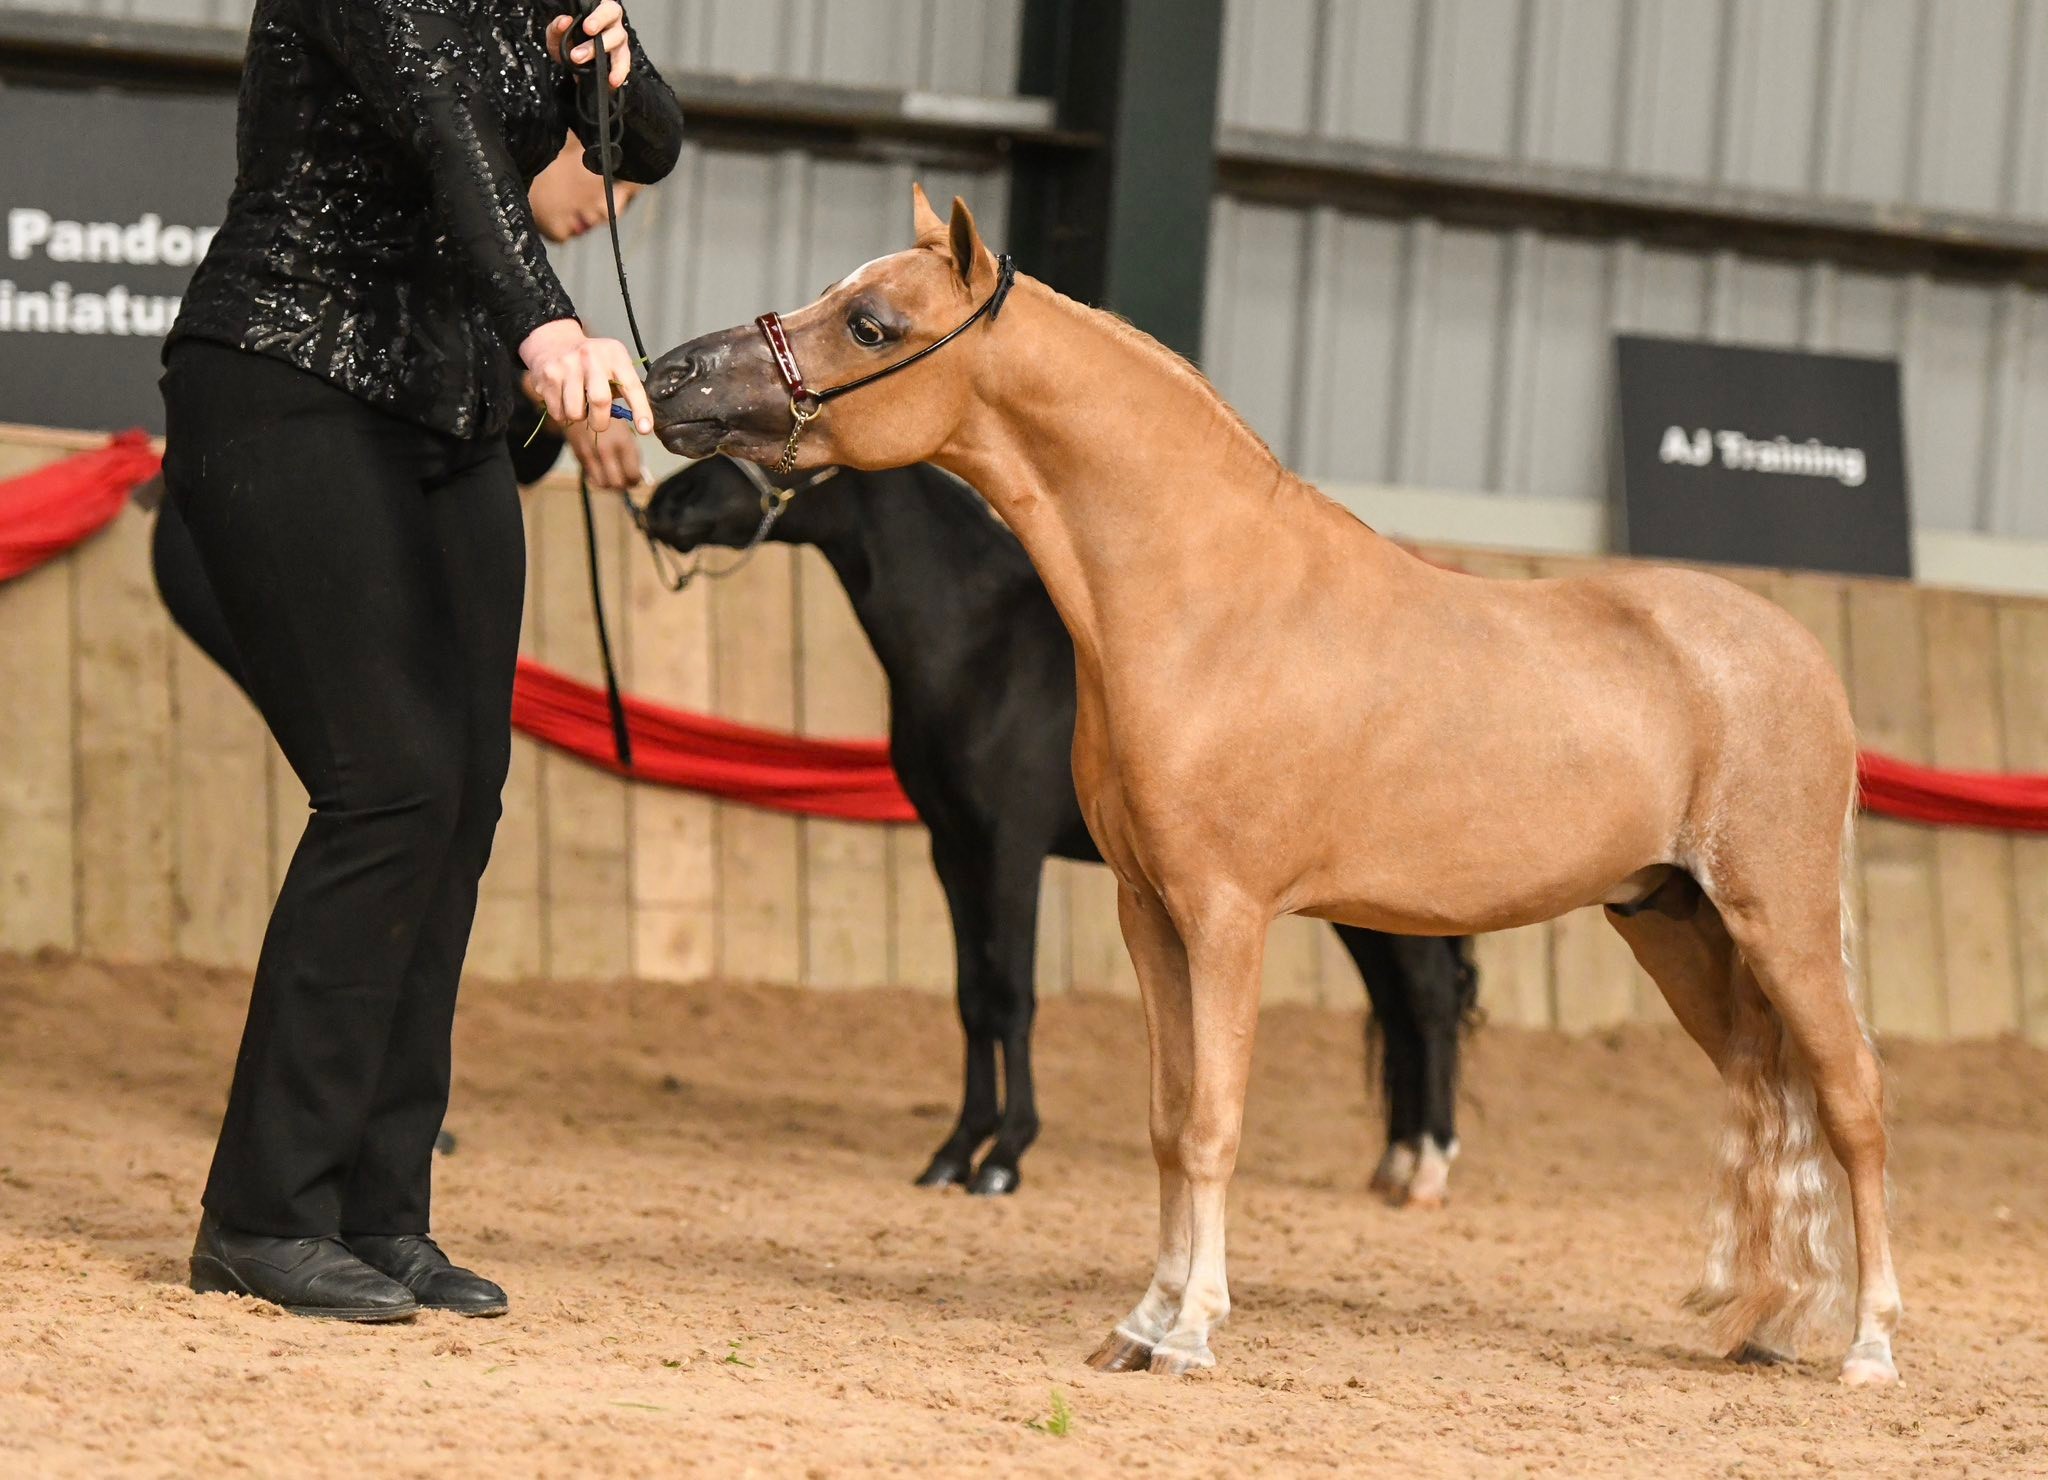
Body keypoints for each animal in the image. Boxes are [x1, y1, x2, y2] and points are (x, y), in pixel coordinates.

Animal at [640, 455, 1479, 1202]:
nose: (662, 505)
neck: (980, 648)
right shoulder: (952, 849)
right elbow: (972, 997)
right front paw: (954, 1153)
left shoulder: (1011, 850)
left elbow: (1012, 995)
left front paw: (1004, 1159)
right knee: (1398, 1006)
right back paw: (1395, 1163)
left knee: (1429, 1001)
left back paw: (1429, 1169)